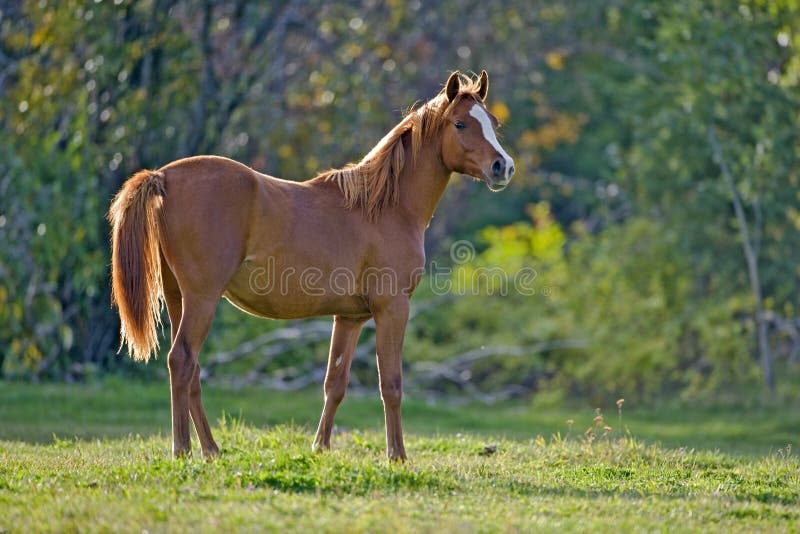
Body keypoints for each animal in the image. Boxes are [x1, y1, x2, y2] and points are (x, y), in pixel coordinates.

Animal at [108, 70, 515, 461]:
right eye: (460, 123)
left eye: (493, 122)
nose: (503, 166)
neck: (384, 206)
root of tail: (164, 176)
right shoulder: (393, 308)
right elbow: (391, 385)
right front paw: (397, 455)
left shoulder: (349, 317)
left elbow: (335, 383)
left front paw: (320, 447)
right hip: (202, 300)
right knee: (181, 362)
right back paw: (182, 450)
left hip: (179, 299)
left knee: (190, 370)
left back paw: (210, 449)